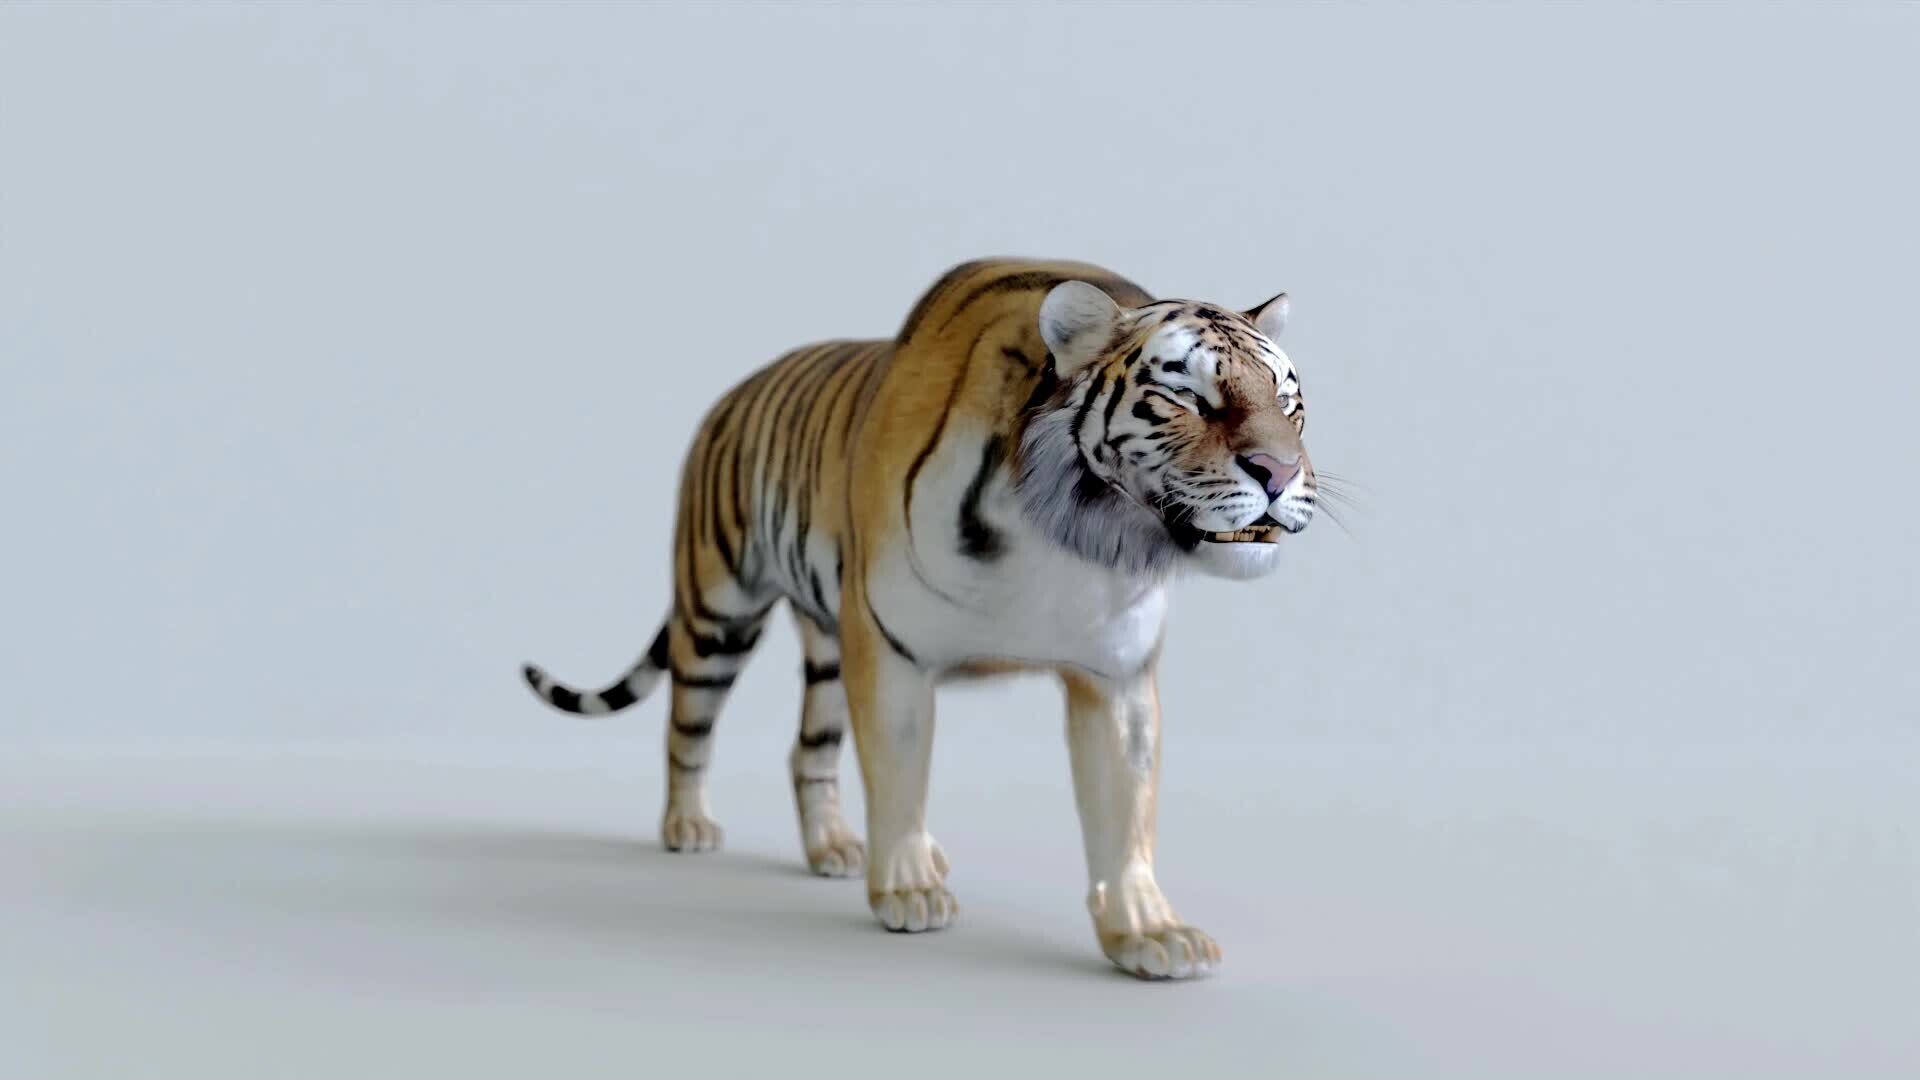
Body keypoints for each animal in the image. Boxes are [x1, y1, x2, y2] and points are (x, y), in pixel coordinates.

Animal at [522, 257, 1316, 979]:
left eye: (1288, 401)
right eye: (1189, 398)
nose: (1280, 474)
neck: (1071, 537)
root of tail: (733, 393)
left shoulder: (1114, 676)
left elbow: (1126, 814)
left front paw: (1148, 933)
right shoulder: (890, 646)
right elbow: (902, 774)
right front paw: (907, 890)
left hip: (828, 646)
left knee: (808, 752)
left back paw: (835, 849)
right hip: (721, 612)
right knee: (687, 728)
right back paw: (688, 826)